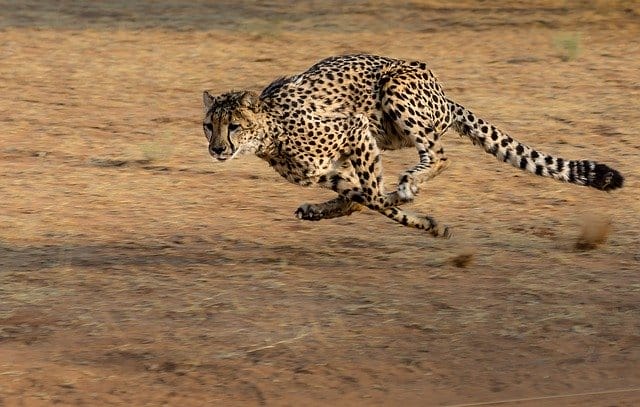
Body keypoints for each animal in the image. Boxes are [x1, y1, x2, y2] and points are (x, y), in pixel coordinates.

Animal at [202, 54, 624, 238]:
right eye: (209, 126)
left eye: (234, 126)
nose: (217, 149)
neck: (270, 132)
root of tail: (444, 94)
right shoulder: (329, 171)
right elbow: (364, 198)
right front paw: (424, 222)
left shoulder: (355, 128)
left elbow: (374, 196)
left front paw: (421, 217)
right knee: (367, 193)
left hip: (395, 91)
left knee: (438, 155)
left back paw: (408, 184)